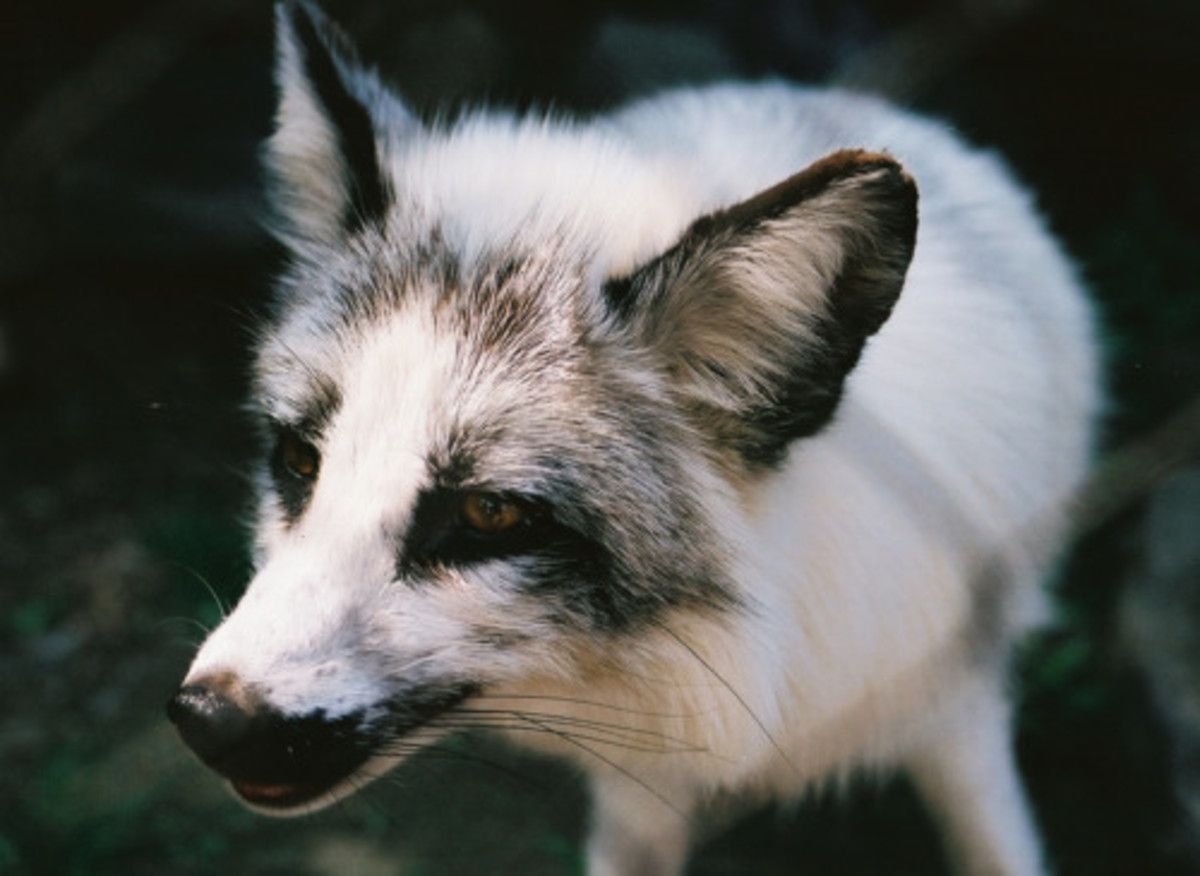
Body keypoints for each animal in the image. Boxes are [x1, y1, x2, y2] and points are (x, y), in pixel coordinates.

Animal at [167, 2, 1100, 874]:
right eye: (300, 460)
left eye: (492, 515)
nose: (206, 718)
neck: (762, 659)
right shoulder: (641, 778)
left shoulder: (954, 703)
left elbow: (995, 845)